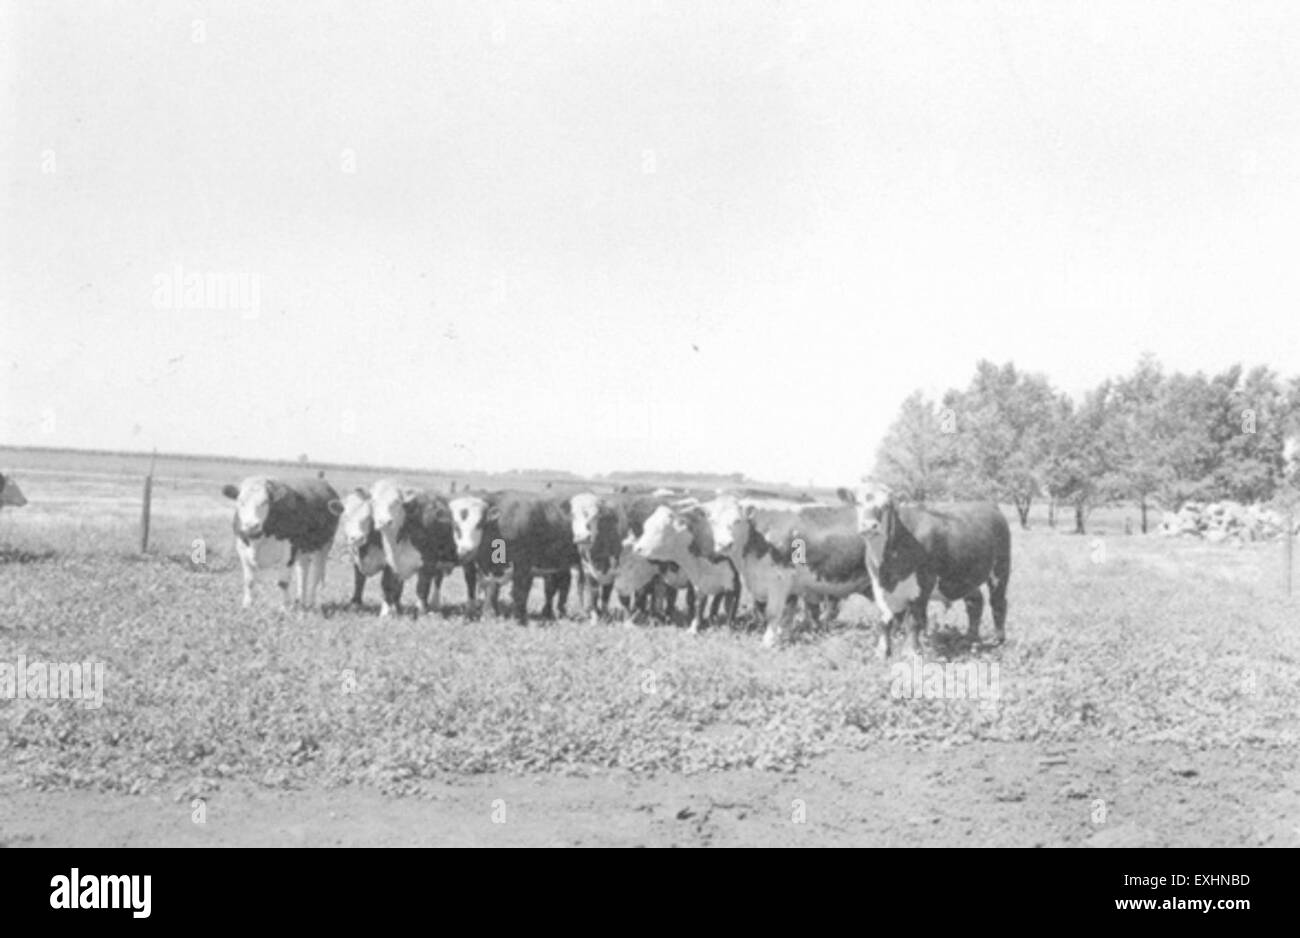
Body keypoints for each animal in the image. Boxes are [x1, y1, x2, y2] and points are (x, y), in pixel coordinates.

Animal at [221, 476, 342, 610]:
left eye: (265, 502)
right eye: (240, 501)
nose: (251, 525)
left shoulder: (289, 552)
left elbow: (283, 583)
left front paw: (285, 607)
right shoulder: (242, 551)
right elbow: (249, 581)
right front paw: (247, 605)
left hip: (324, 546)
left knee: (316, 573)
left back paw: (310, 602)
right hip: (303, 549)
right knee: (303, 571)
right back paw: (300, 600)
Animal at [369, 479, 477, 617]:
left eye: (397, 502)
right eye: (373, 502)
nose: (383, 521)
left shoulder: (427, 563)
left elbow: (422, 588)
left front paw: (421, 611)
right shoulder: (390, 563)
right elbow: (388, 585)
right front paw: (386, 613)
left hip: (468, 557)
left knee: (470, 579)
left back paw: (471, 607)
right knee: (439, 578)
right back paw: (435, 604)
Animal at [444, 490, 579, 625]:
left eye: (479, 524)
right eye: (455, 526)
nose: (466, 551)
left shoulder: (522, 564)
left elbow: (518, 591)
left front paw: (519, 618)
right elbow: (491, 588)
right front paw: (490, 614)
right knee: (557, 585)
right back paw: (551, 612)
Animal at [704, 494, 872, 647]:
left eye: (737, 520)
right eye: (712, 521)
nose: (724, 544)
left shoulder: (779, 579)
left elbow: (773, 613)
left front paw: (769, 641)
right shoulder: (788, 587)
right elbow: (787, 614)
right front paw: (782, 636)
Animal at [837, 483, 1010, 658]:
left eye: (886, 505)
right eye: (858, 503)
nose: (869, 526)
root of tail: (988, 504)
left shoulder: (922, 585)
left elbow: (914, 621)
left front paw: (911, 651)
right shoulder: (877, 586)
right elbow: (885, 619)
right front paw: (882, 651)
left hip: (1001, 568)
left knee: (998, 603)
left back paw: (998, 640)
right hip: (966, 576)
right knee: (975, 603)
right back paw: (970, 638)